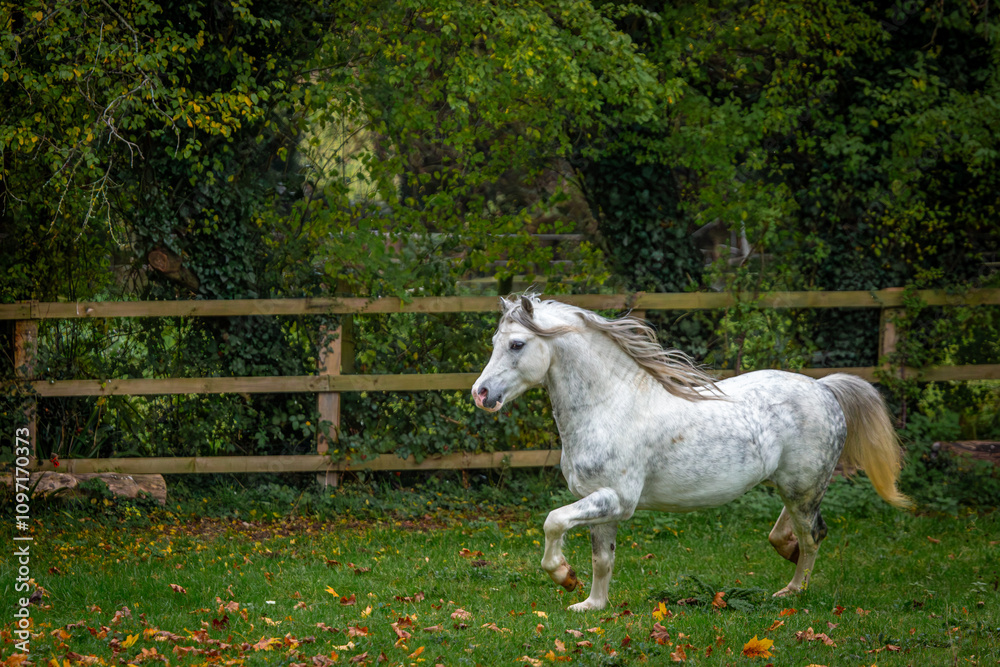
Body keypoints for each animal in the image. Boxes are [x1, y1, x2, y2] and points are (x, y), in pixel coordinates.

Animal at [471, 294, 911, 612]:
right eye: (494, 343)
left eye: (517, 344)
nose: (481, 394)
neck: (611, 404)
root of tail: (825, 388)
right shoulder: (600, 502)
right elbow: (602, 559)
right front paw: (591, 604)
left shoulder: (617, 500)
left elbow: (553, 522)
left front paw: (563, 575)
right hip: (792, 485)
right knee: (794, 531)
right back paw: (786, 551)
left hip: (804, 487)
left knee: (814, 534)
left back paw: (791, 592)